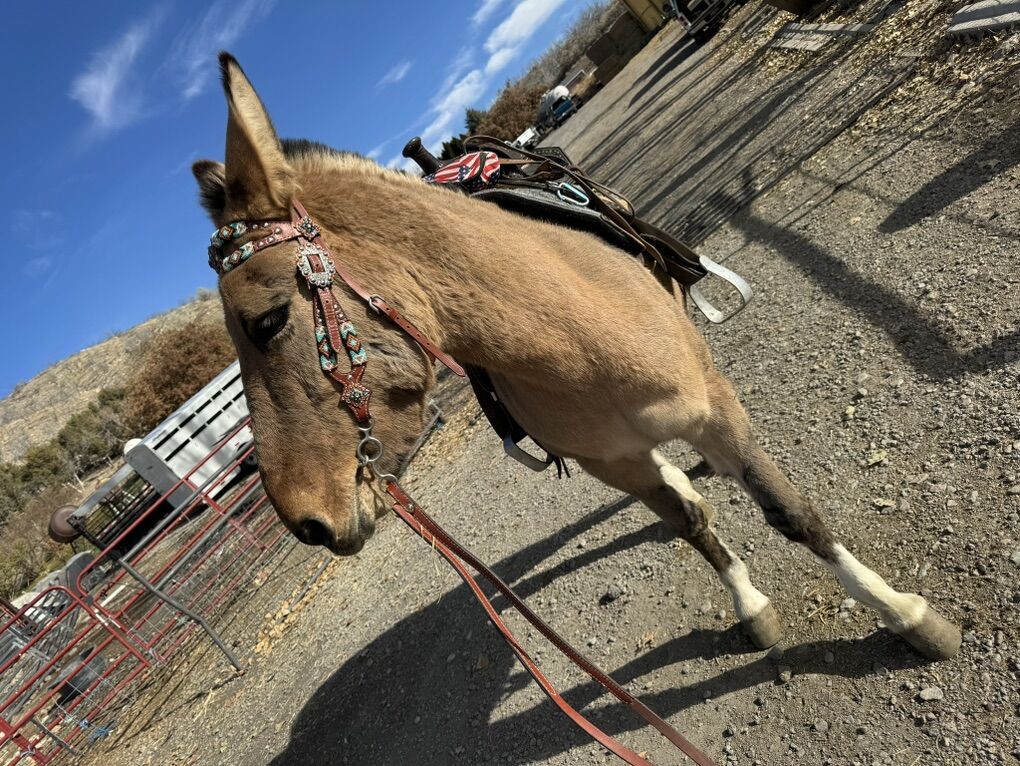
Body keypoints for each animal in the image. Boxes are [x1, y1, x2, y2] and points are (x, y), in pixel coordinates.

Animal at [191, 53, 960, 662]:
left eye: (267, 321)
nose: (306, 522)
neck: (577, 335)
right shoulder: (611, 462)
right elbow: (690, 527)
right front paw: (751, 605)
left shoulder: (716, 413)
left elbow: (791, 514)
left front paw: (908, 615)